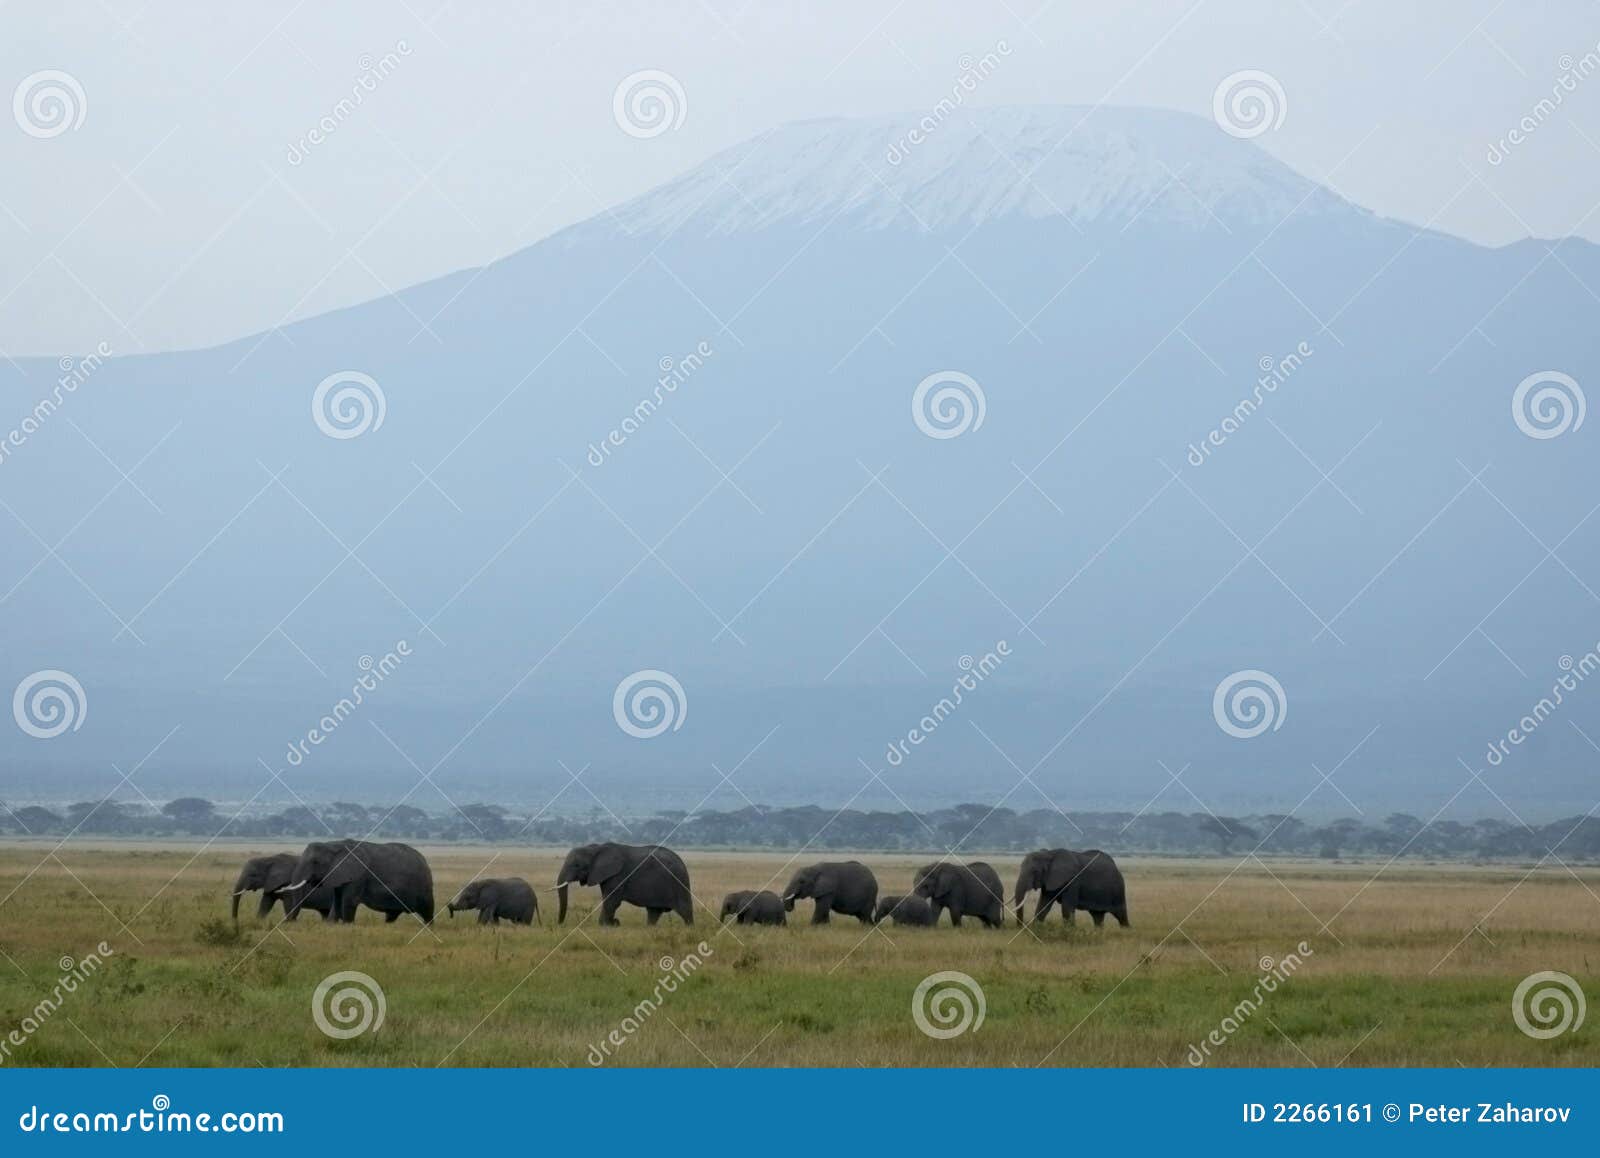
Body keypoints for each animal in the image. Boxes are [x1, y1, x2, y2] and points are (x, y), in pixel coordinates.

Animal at [277, 839, 435, 924]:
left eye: (315, 862)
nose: (288, 923)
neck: (335, 845)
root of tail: (424, 860)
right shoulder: (340, 875)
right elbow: (337, 901)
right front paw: (331, 925)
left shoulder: (358, 876)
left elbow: (349, 901)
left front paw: (347, 926)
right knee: (392, 914)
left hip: (423, 885)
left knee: (427, 909)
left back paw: (429, 928)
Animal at [555, 843, 693, 926]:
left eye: (577, 865)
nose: (560, 924)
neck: (596, 848)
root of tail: (682, 863)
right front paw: (610, 924)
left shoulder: (617, 875)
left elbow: (612, 901)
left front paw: (605, 926)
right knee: (653, 911)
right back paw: (649, 928)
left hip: (678, 881)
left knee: (685, 910)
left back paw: (690, 928)